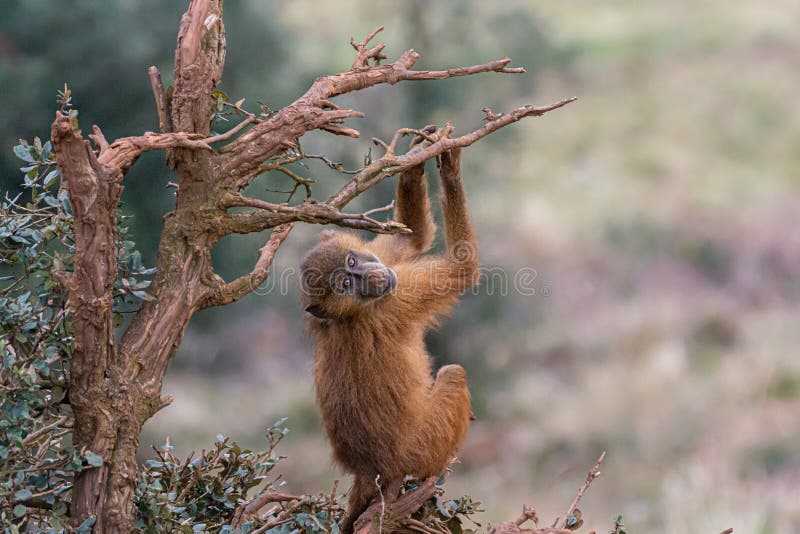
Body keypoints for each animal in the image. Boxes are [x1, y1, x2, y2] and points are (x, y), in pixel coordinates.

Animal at [300, 147, 478, 533]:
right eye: (345, 285)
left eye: (352, 262)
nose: (373, 276)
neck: (344, 316)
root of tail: (370, 472)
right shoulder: (397, 300)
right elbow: (462, 268)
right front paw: (450, 167)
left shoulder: (387, 266)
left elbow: (410, 239)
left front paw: (412, 164)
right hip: (424, 446)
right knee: (454, 374)